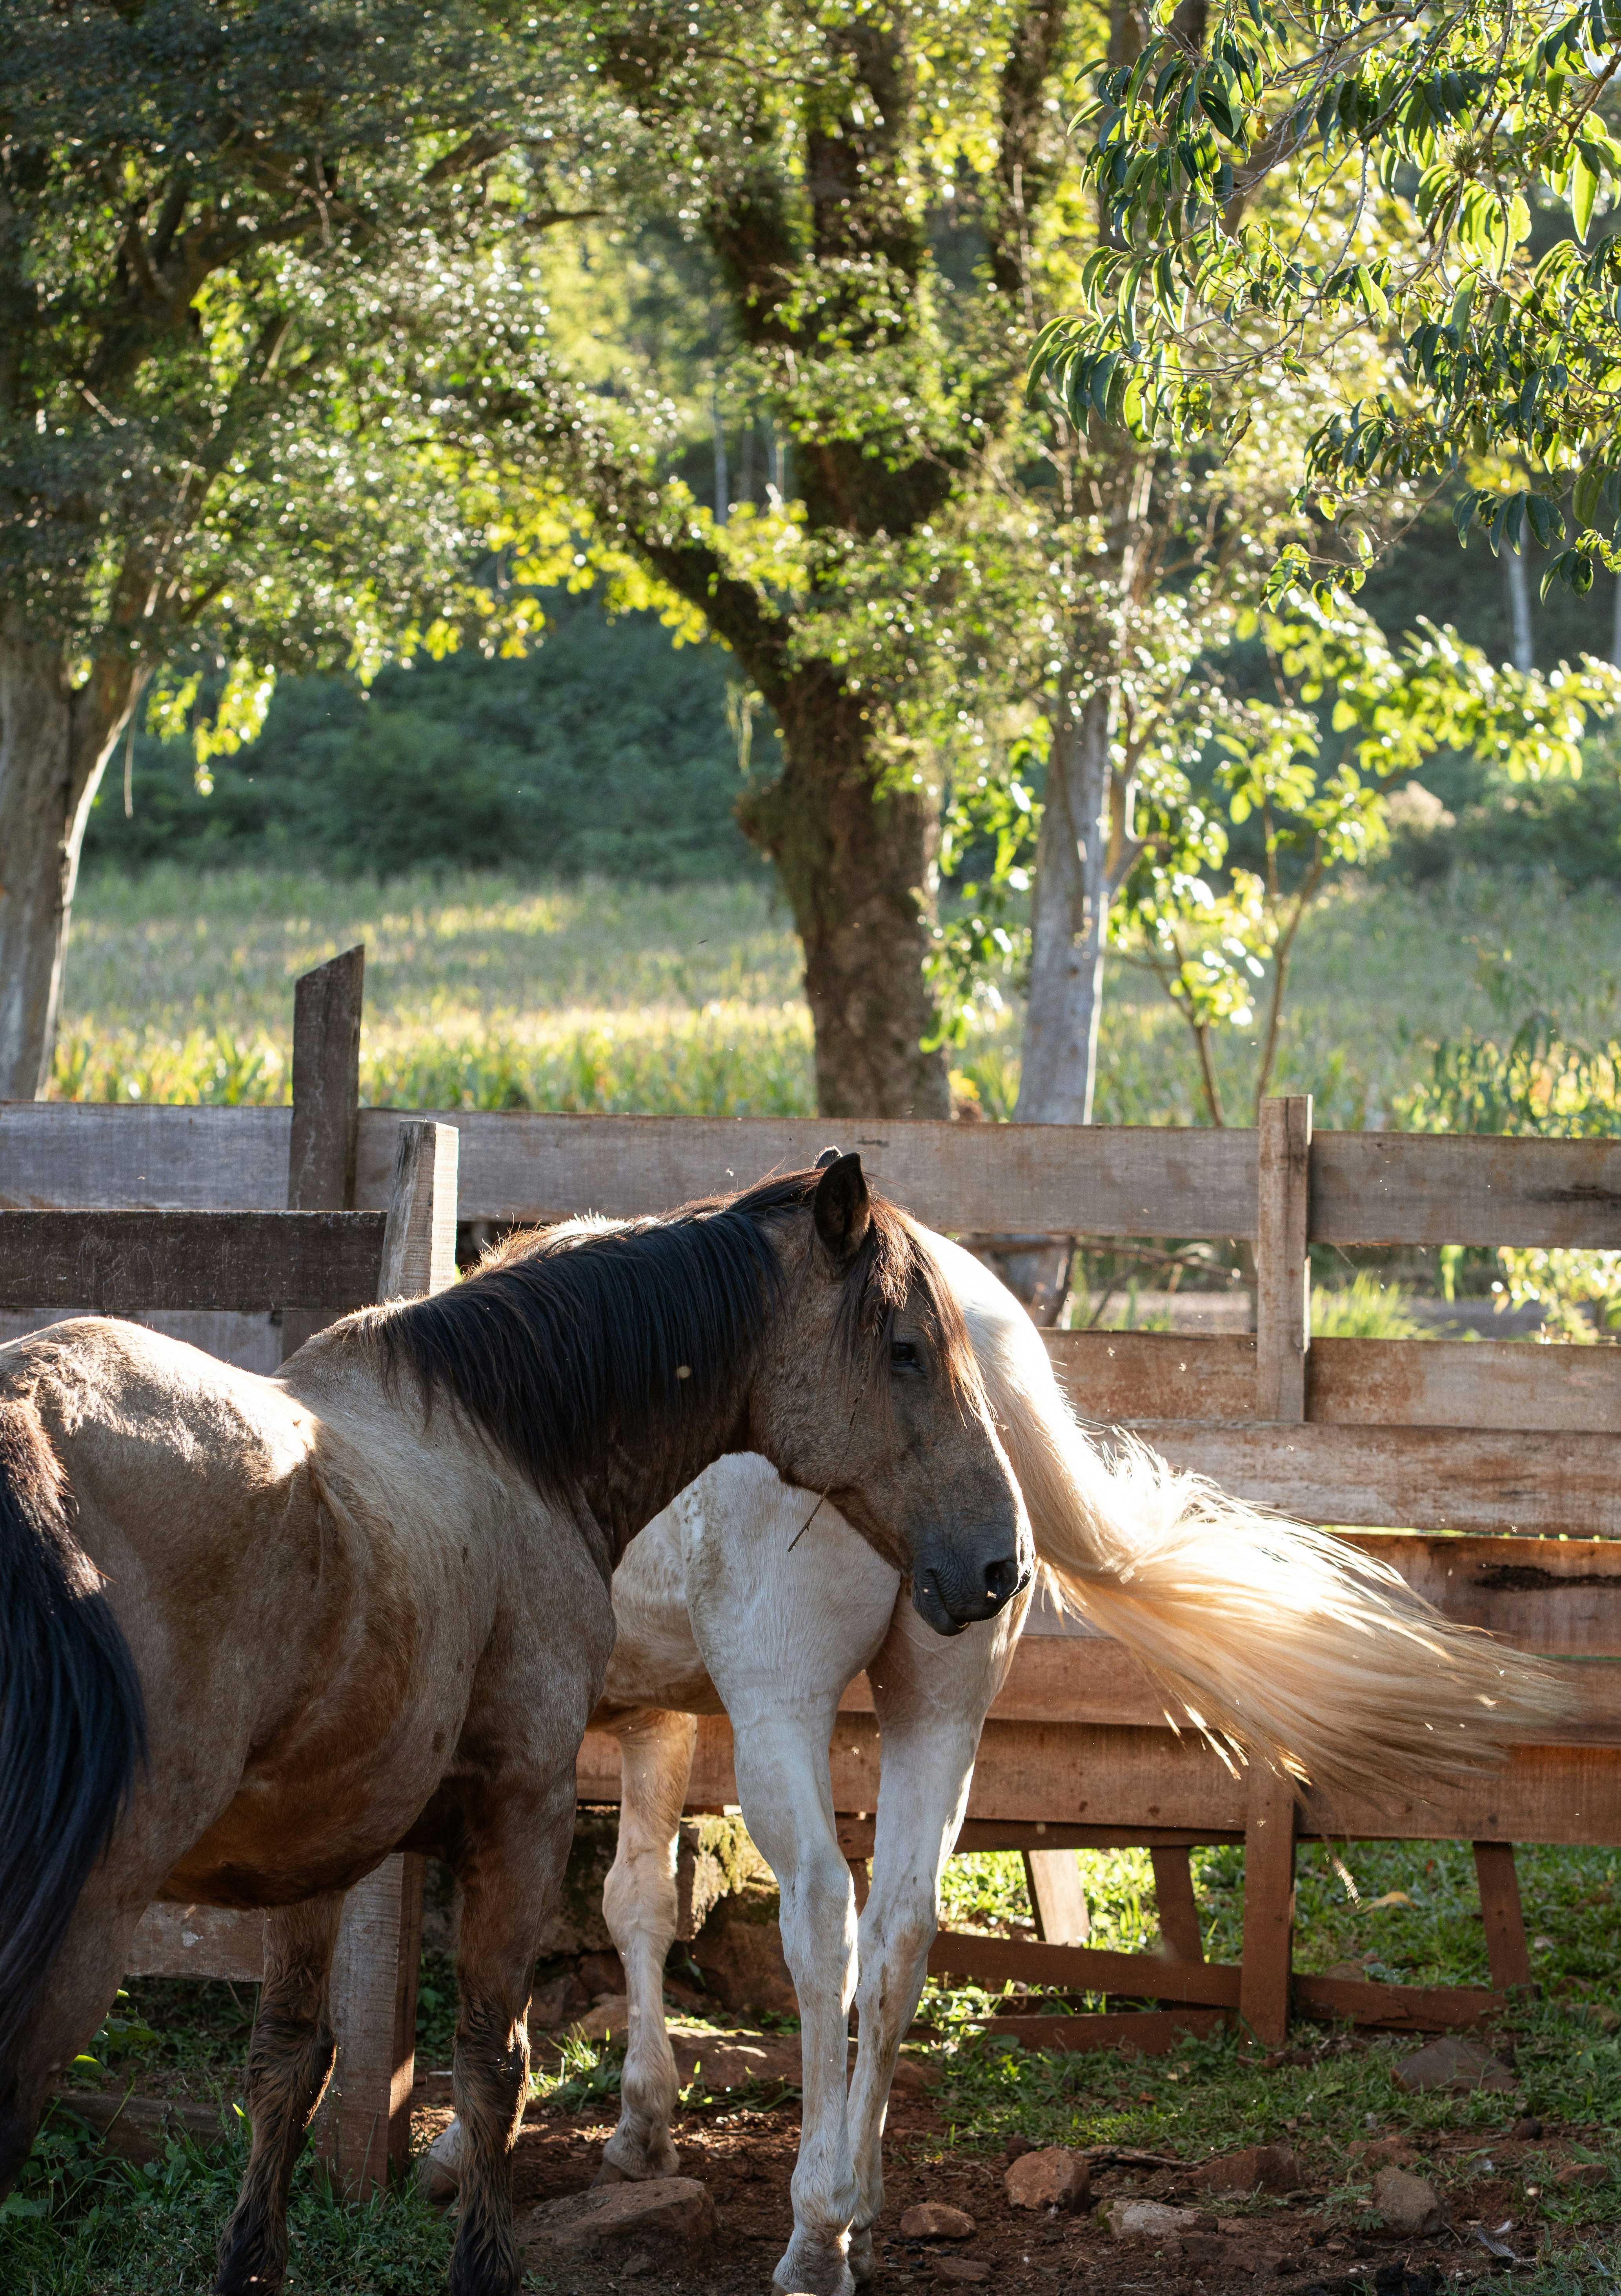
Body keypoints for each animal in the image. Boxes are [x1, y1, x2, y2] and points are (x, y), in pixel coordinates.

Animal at [0, 1155, 1032, 2296]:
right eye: (905, 1348)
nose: (998, 1560)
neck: (511, 1444)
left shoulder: (321, 1846)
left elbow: (294, 2058)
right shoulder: (523, 1805)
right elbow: (494, 2054)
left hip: (931, 1708)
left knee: (893, 1925)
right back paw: (824, 2229)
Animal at [427, 1225, 1567, 2296]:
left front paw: (462, 2142)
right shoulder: (655, 1720)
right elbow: (636, 1903)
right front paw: (642, 2122)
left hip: (782, 1707)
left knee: (825, 1920)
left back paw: (816, 2229)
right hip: (940, 1709)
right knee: (901, 1925)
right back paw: (862, 2206)